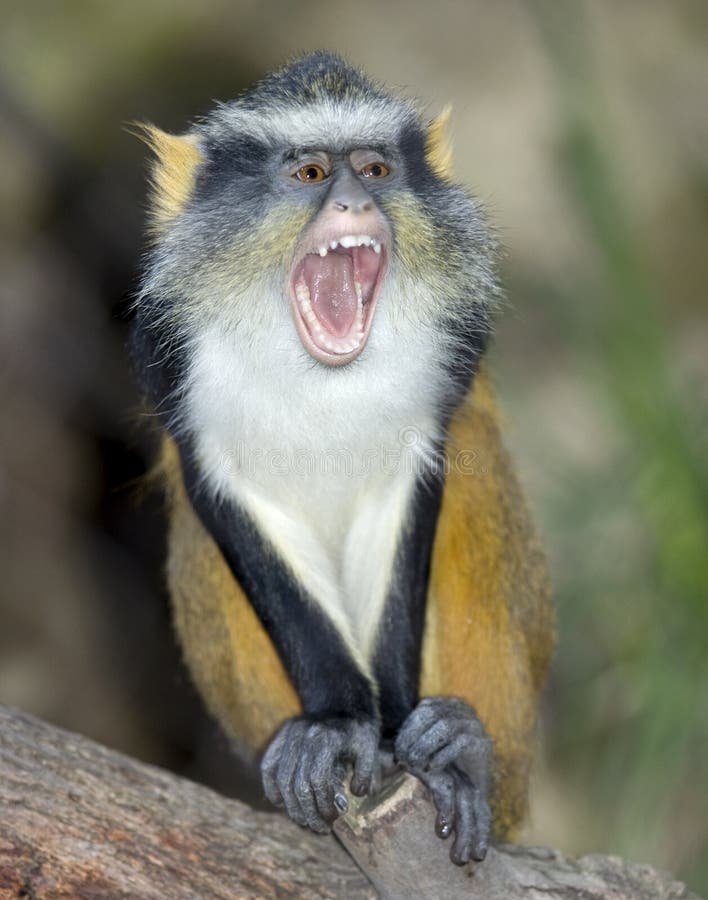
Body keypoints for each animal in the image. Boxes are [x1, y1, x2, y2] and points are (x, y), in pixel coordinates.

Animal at [130, 51, 554, 866]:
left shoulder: (447, 363)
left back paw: (471, 754)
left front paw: (396, 740)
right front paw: (333, 727)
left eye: (378, 169)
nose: (357, 202)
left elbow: (419, 483)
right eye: (311, 173)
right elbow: (221, 499)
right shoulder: (172, 360)